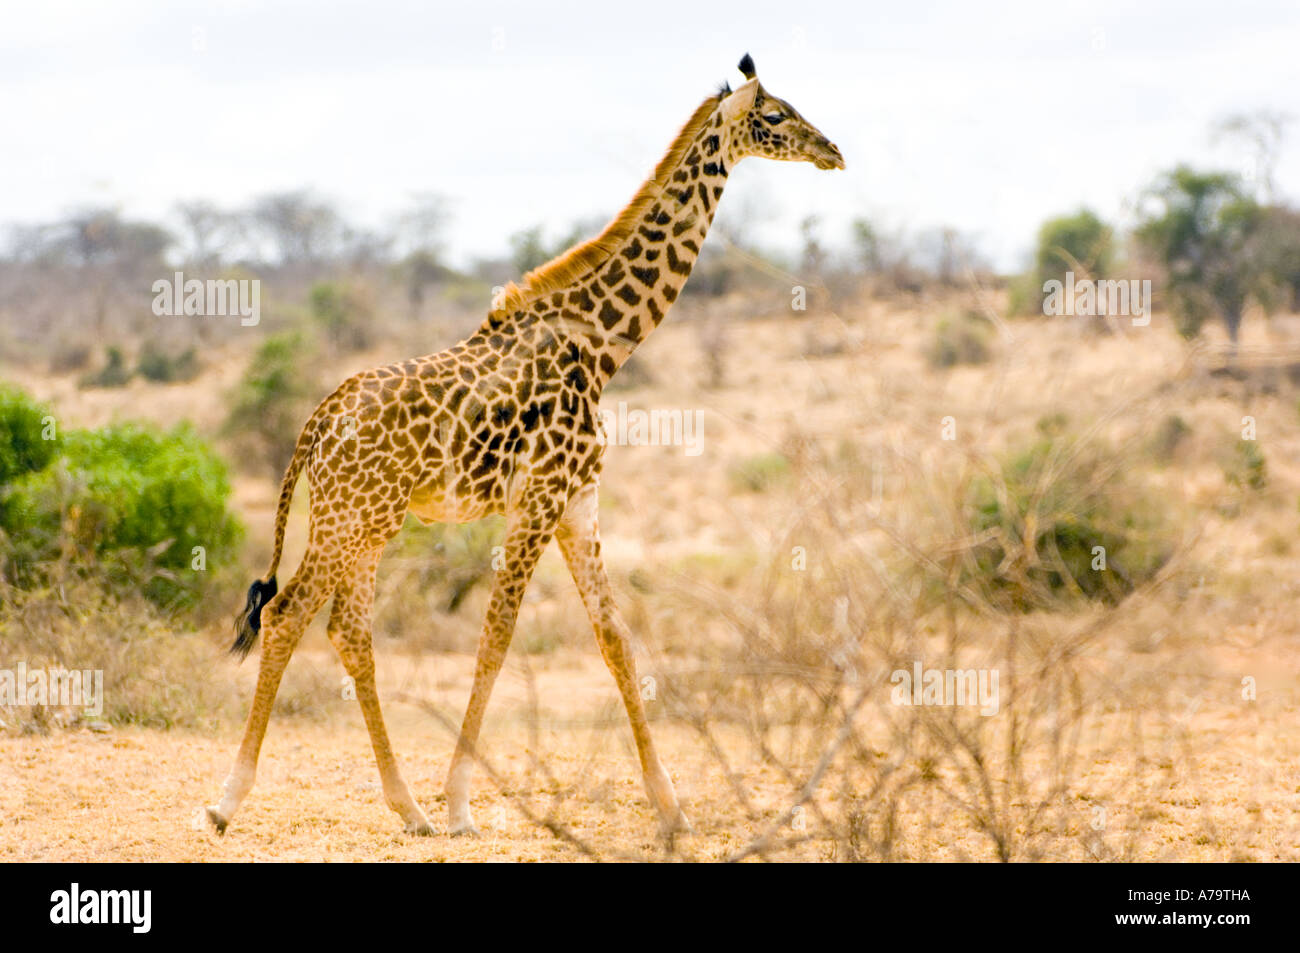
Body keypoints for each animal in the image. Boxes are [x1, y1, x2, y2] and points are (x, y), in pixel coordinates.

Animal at [205, 53, 844, 838]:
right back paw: (230, 801)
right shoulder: (539, 497)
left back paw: (406, 807)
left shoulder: (578, 500)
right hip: (352, 519)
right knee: (290, 614)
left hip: (363, 523)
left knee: (348, 630)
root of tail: (316, 424)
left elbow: (615, 639)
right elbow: (498, 637)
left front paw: (671, 809)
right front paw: (459, 804)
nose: (833, 151)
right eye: (776, 115)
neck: (603, 345)